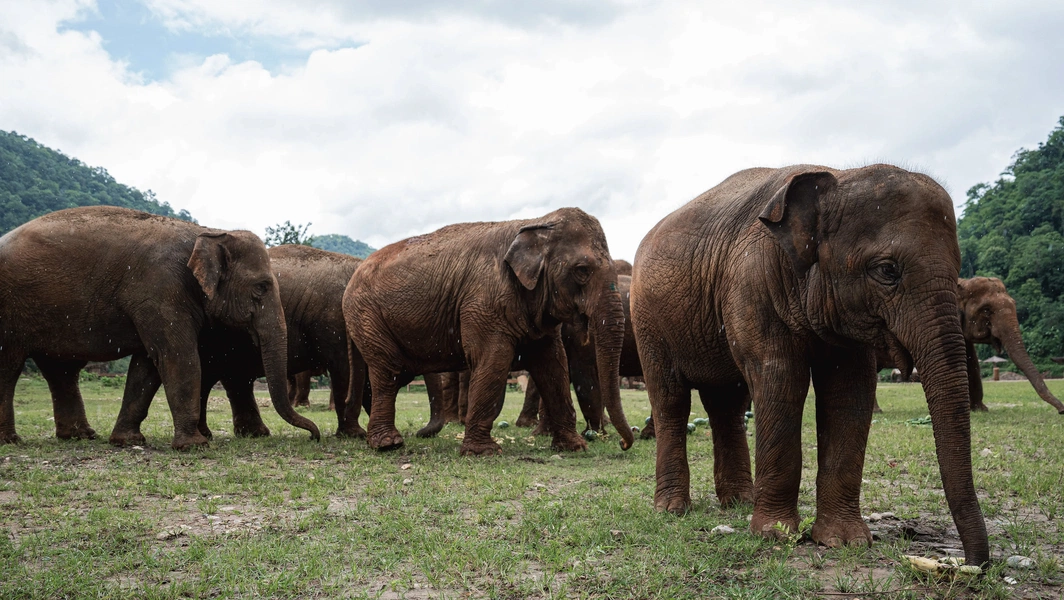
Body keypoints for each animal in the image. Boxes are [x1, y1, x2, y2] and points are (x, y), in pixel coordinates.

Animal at [0, 206, 318, 449]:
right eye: (262, 286)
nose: (313, 435)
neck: (207, 231)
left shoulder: (154, 300)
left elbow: (148, 365)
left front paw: (126, 441)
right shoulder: (160, 288)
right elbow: (178, 356)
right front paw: (195, 445)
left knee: (61, 370)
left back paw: (80, 436)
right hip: (10, 309)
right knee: (10, 366)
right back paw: (11, 441)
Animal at [343, 207, 634, 456]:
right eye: (582, 270)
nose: (623, 443)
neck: (535, 222)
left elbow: (553, 364)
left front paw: (574, 447)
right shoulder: (484, 300)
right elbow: (494, 358)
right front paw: (483, 452)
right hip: (366, 316)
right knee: (388, 371)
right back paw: (387, 445)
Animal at [630, 165, 989, 566]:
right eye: (887, 270)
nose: (971, 563)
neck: (837, 177)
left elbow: (850, 392)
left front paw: (845, 542)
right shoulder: (752, 284)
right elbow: (781, 379)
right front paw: (775, 535)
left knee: (727, 405)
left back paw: (739, 503)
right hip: (648, 322)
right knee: (671, 400)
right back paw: (673, 509)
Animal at [877, 276, 1064, 414]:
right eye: (987, 310)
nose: (1061, 411)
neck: (963, 283)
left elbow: (971, 360)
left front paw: (980, 410)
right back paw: (878, 412)